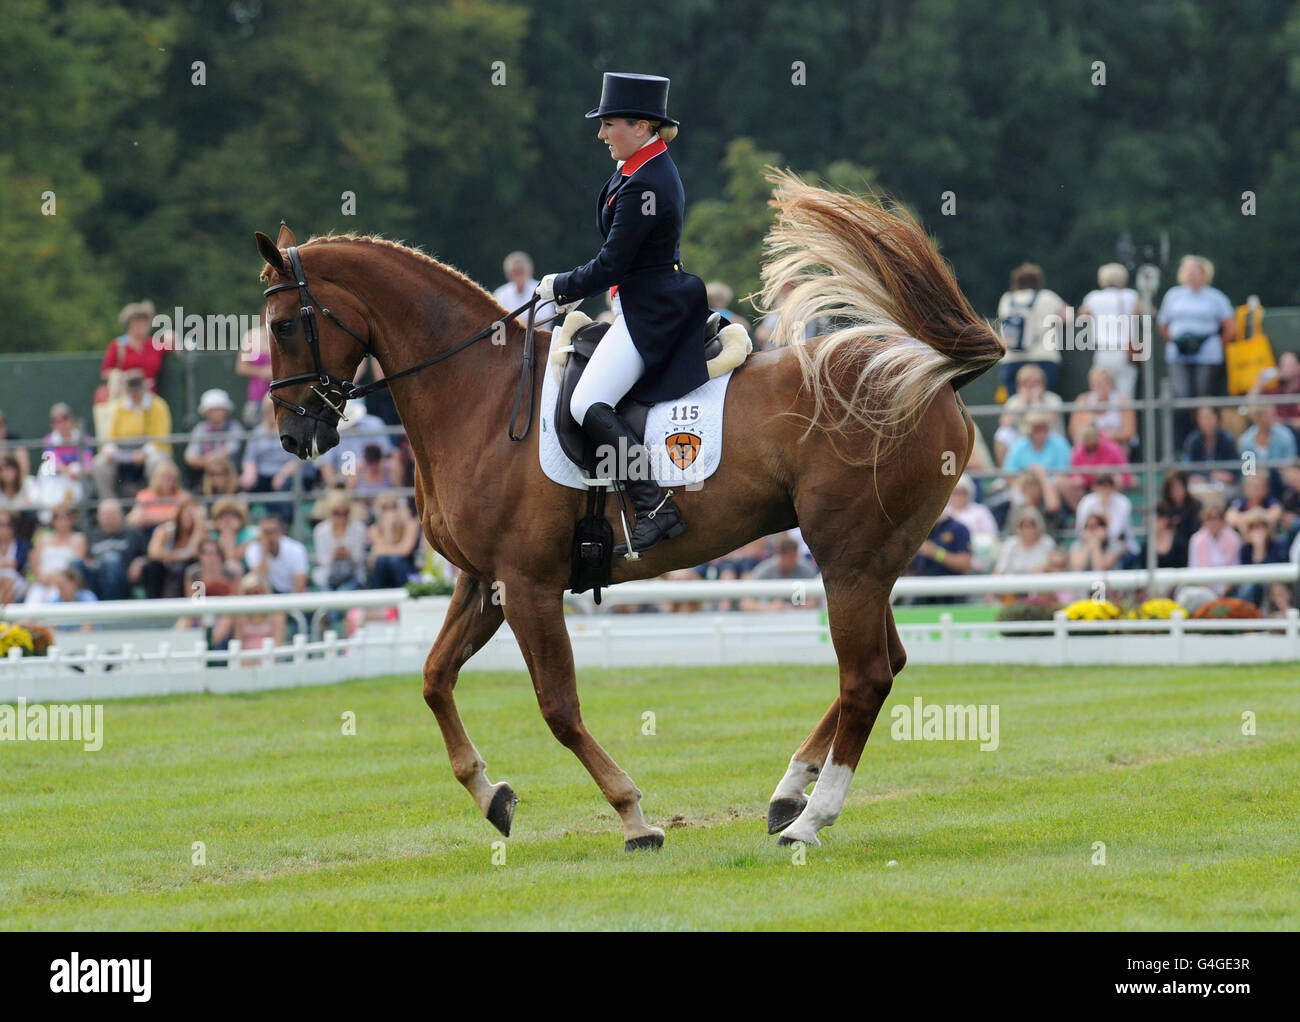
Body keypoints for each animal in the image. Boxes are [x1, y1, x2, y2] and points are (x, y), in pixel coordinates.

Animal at [254, 169, 1004, 850]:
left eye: (285, 325)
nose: (293, 437)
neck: (478, 397)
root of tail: (929, 376)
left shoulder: (528, 585)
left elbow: (558, 708)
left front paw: (633, 815)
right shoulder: (484, 580)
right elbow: (435, 679)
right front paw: (491, 794)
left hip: (848, 559)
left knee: (866, 677)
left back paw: (811, 819)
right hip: (870, 562)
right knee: (884, 665)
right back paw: (790, 793)